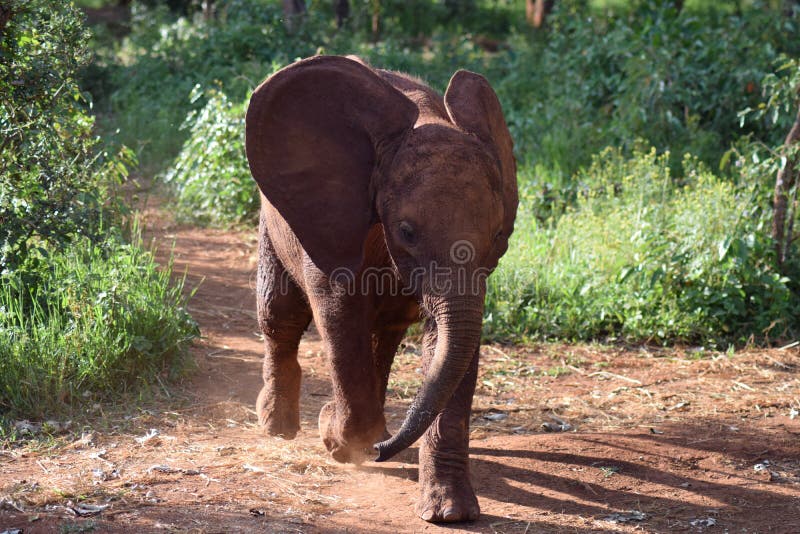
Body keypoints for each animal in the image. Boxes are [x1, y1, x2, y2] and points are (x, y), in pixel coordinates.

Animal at [244, 55, 518, 522]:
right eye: (406, 231)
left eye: (498, 235)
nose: (382, 452)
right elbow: (338, 312)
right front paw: (337, 438)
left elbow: (449, 342)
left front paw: (449, 513)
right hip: (273, 217)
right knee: (281, 315)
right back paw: (279, 428)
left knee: (386, 331)